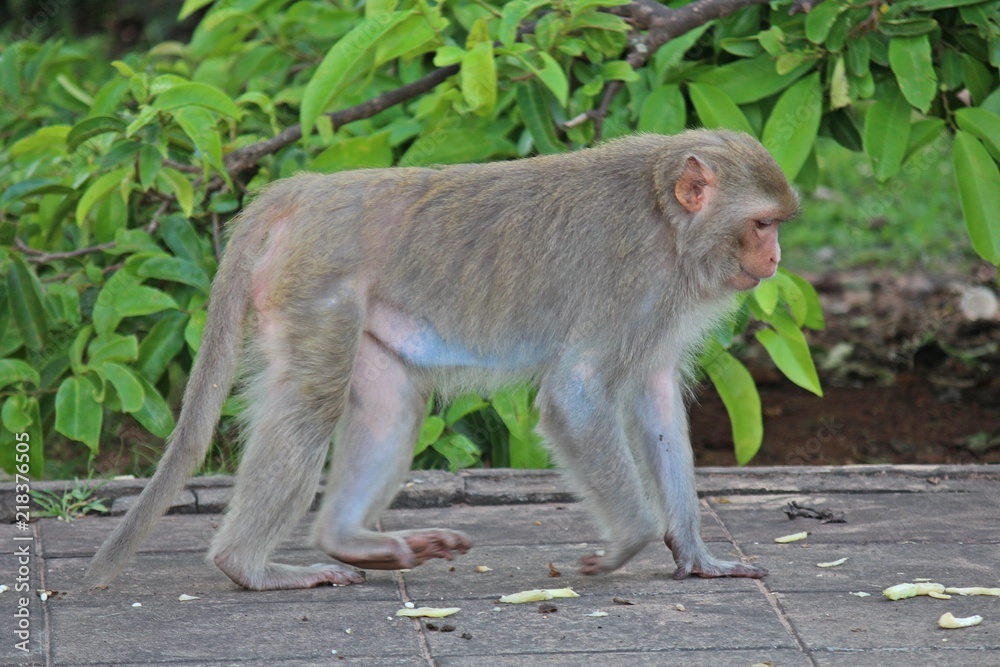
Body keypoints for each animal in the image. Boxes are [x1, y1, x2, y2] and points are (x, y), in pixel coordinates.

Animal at [86, 129, 797, 591]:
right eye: (763, 224)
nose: (776, 259)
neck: (668, 222)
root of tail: (305, 191)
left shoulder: (659, 304)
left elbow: (653, 400)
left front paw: (696, 554)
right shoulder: (630, 278)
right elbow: (576, 395)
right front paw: (628, 543)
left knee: (391, 403)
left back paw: (351, 542)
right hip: (316, 283)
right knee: (311, 404)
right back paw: (250, 569)